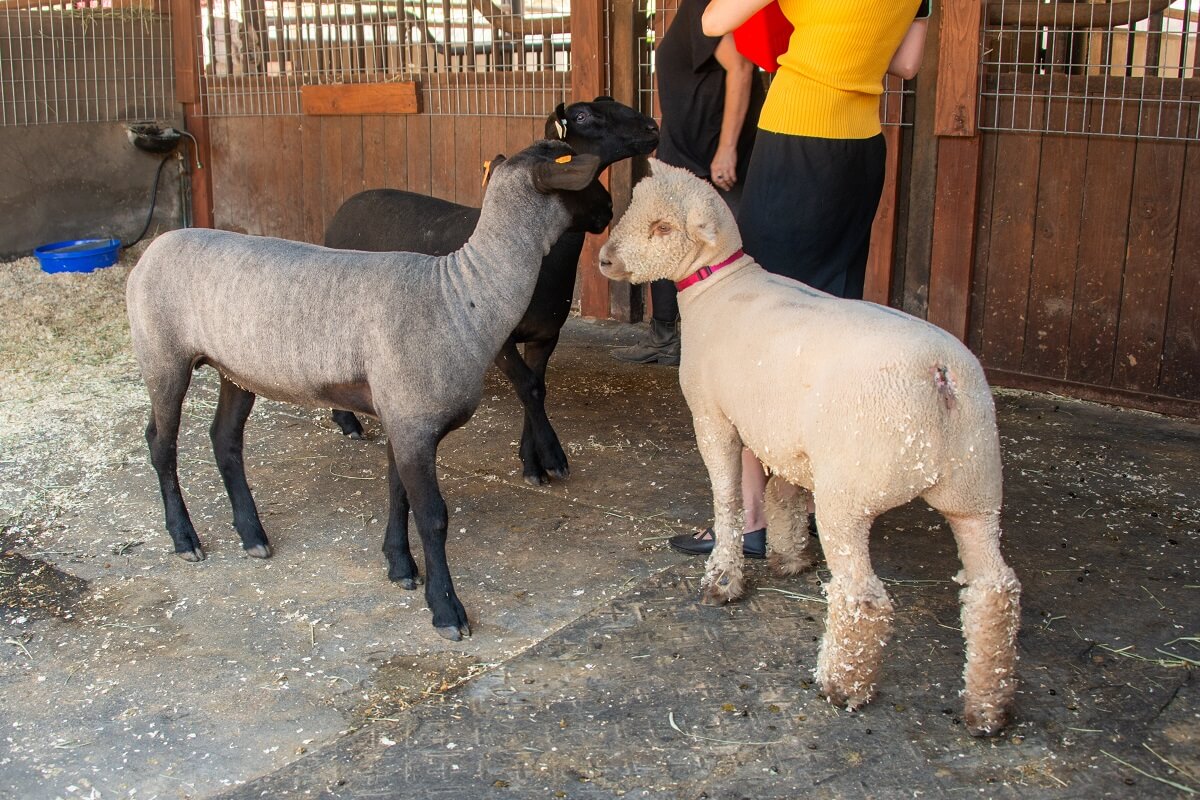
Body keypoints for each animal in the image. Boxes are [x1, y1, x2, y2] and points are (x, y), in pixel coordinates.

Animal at [126, 140, 606, 642]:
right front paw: (446, 610)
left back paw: (253, 535)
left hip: (235, 370)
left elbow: (398, 495)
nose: (610, 210)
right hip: (162, 355)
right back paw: (185, 538)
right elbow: (432, 516)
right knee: (160, 444)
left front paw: (400, 567)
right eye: (587, 179)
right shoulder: (413, 421)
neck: (463, 295)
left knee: (224, 440)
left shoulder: (400, 414)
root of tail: (155, 246)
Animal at [323, 96, 660, 486]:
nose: (652, 127)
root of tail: (345, 205)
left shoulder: (546, 334)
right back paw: (347, 421)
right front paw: (551, 456)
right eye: (582, 116)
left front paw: (531, 461)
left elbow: (536, 387)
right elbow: (528, 387)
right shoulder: (499, 339)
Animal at [597, 159, 1021, 737]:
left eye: (662, 228)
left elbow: (729, 498)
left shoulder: (716, 416)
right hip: (975, 484)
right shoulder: (784, 433)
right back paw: (987, 707)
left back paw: (841, 683)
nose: (605, 259)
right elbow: (784, 493)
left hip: (853, 491)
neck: (717, 285)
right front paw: (790, 556)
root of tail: (941, 376)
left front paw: (724, 576)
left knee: (863, 598)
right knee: (993, 592)